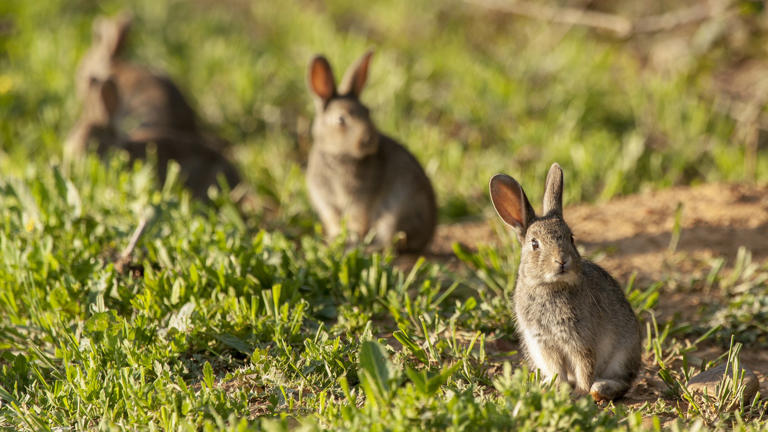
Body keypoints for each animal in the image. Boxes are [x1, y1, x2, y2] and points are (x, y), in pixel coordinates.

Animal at [306, 50, 437, 253]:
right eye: (341, 119)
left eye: (367, 111)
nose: (370, 139)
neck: (338, 156)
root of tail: (426, 237)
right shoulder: (326, 203)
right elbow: (335, 222)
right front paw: (335, 242)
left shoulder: (359, 201)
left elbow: (357, 222)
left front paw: (350, 241)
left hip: (393, 213)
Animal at [489, 163, 641, 401]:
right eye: (534, 244)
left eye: (571, 237)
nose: (562, 260)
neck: (549, 286)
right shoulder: (545, 345)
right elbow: (558, 370)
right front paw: (558, 389)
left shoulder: (581, 341)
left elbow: (584, 367)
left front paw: (581, 393)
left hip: (623, 354)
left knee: (623, 381)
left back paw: (600, 389)